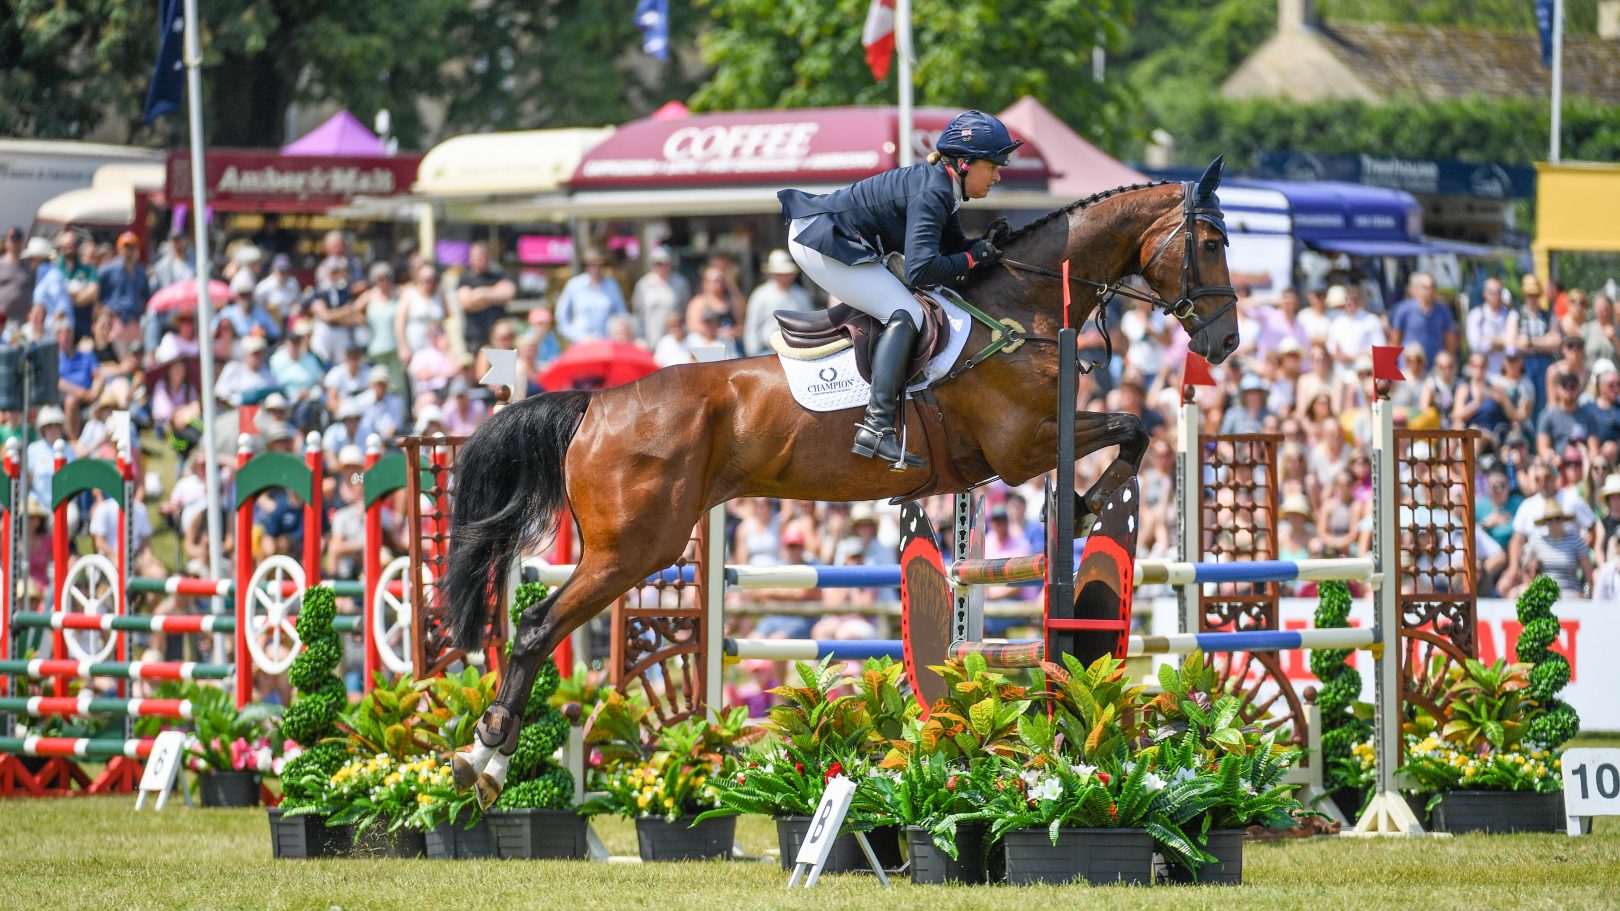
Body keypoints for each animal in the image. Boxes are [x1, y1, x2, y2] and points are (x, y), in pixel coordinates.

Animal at [446, 158, 1241, 805]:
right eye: (1210, 245)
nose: (1225, 342)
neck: (1021, 311)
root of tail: (595, 404)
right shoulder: (1022, 448)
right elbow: (1132, 426)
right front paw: (1083, 503)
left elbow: (1132, 431)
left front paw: (1079, 504)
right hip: (632, 550)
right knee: (536, 630)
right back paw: (484, 759)